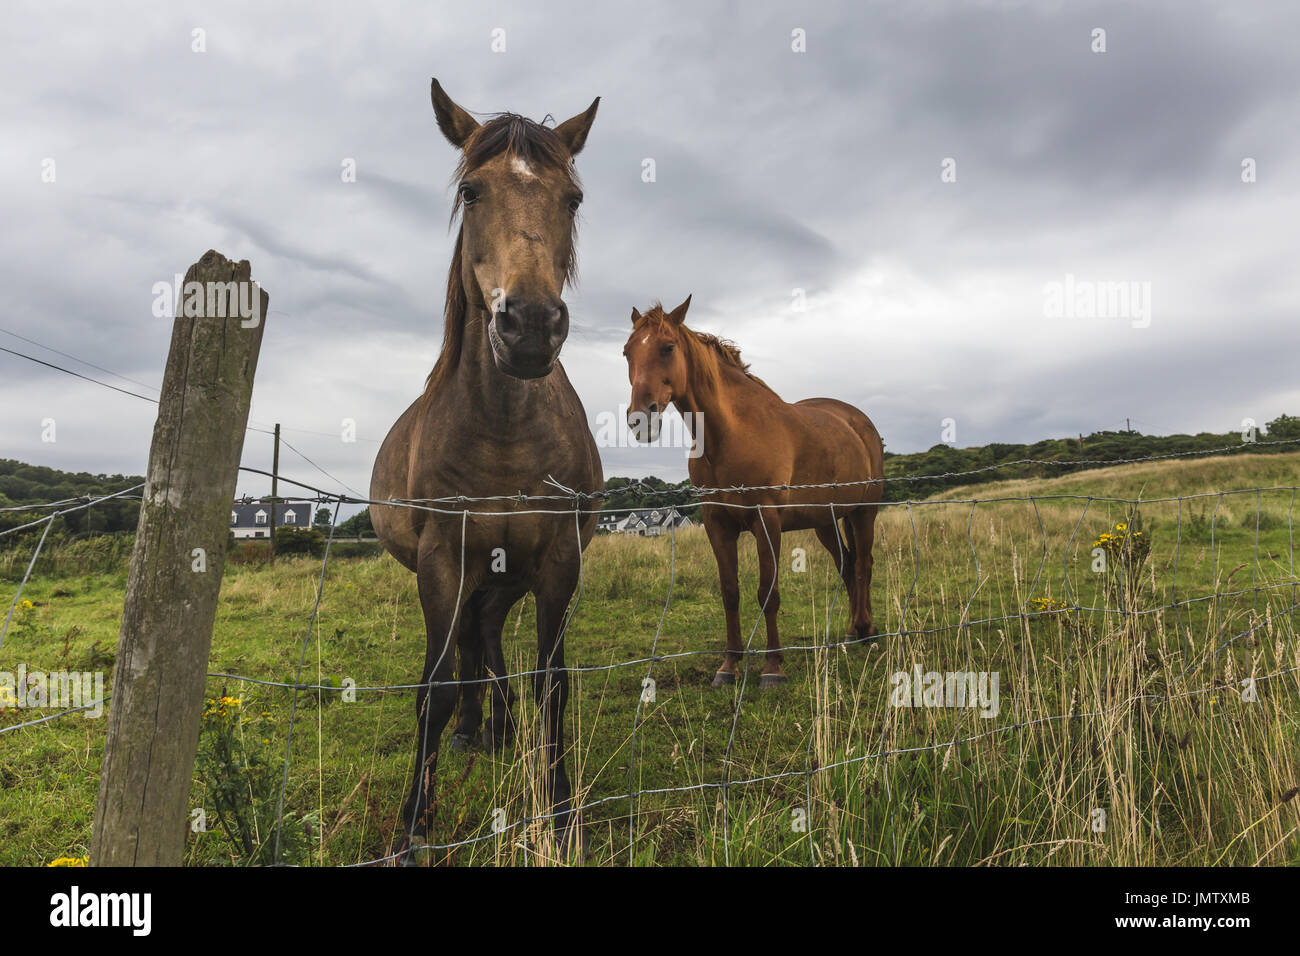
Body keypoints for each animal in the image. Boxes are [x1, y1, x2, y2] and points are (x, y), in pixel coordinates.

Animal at [370, 79, 602, 862]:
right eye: (471, 191)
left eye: (573, 199)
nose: (528, 325)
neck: (502, 432)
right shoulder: (444, 556)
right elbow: (435, 686)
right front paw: (414, 824)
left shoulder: (557, 558)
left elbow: (552, 683)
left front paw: (560, 815)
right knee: (471, 647)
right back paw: (476, 728)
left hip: (505, 577)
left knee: (490, 640)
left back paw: (494, 725)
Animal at [623, 296, 884, 689]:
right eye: (627, 353)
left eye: (667, 348)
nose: (641, 419)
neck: (731, 434)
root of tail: (858, 421)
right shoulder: (717, 523)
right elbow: (730, 593)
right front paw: (729, 666)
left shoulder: (767, 521)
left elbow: (768, 593)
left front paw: (773, 668)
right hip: (826, 521)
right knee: (848, 565)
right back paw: (852, 632)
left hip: (864, 511)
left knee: (864, 564)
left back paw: (867, 630)